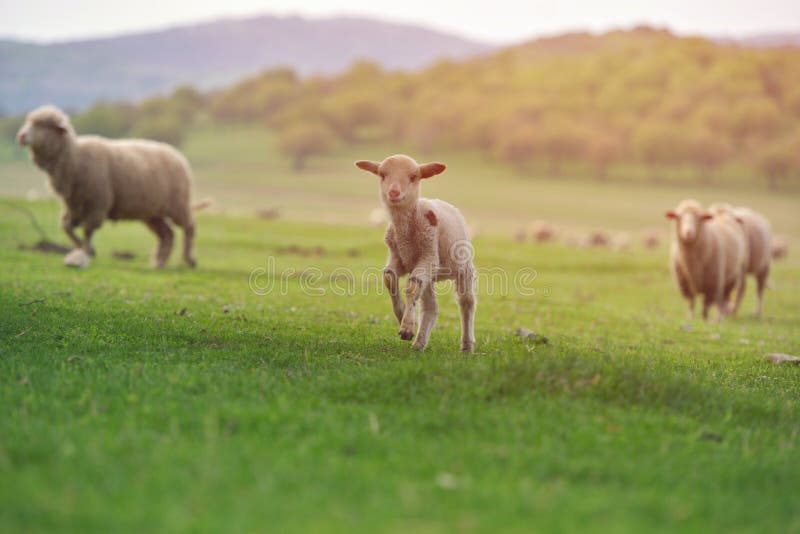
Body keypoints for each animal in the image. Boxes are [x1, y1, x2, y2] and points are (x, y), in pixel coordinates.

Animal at [16, 105, 198, 268]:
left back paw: (189, 260)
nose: (21, 136)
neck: (74, 157)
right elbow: (66, 227)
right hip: (152, 212)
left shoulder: (97, 203)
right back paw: (159, 262)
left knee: (189, 227)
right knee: (167, 234)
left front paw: (82, 256)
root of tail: (176, 153)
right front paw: (86, 250)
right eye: (28, 121)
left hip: (177, 204)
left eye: (42, 125)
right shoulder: (74, 204)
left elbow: (88, 230)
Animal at [355, 154, 476, 352]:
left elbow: (412, 286)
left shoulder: (429, 255)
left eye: (413, 176)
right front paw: (401, 315)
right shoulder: (398, 256)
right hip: (430, 274)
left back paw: (467, 345)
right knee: (430, 306)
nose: (394, 192)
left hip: (463, 266)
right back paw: (419, 343)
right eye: (382, 174)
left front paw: (406, 328)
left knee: (467, 302)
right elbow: (389, 277)